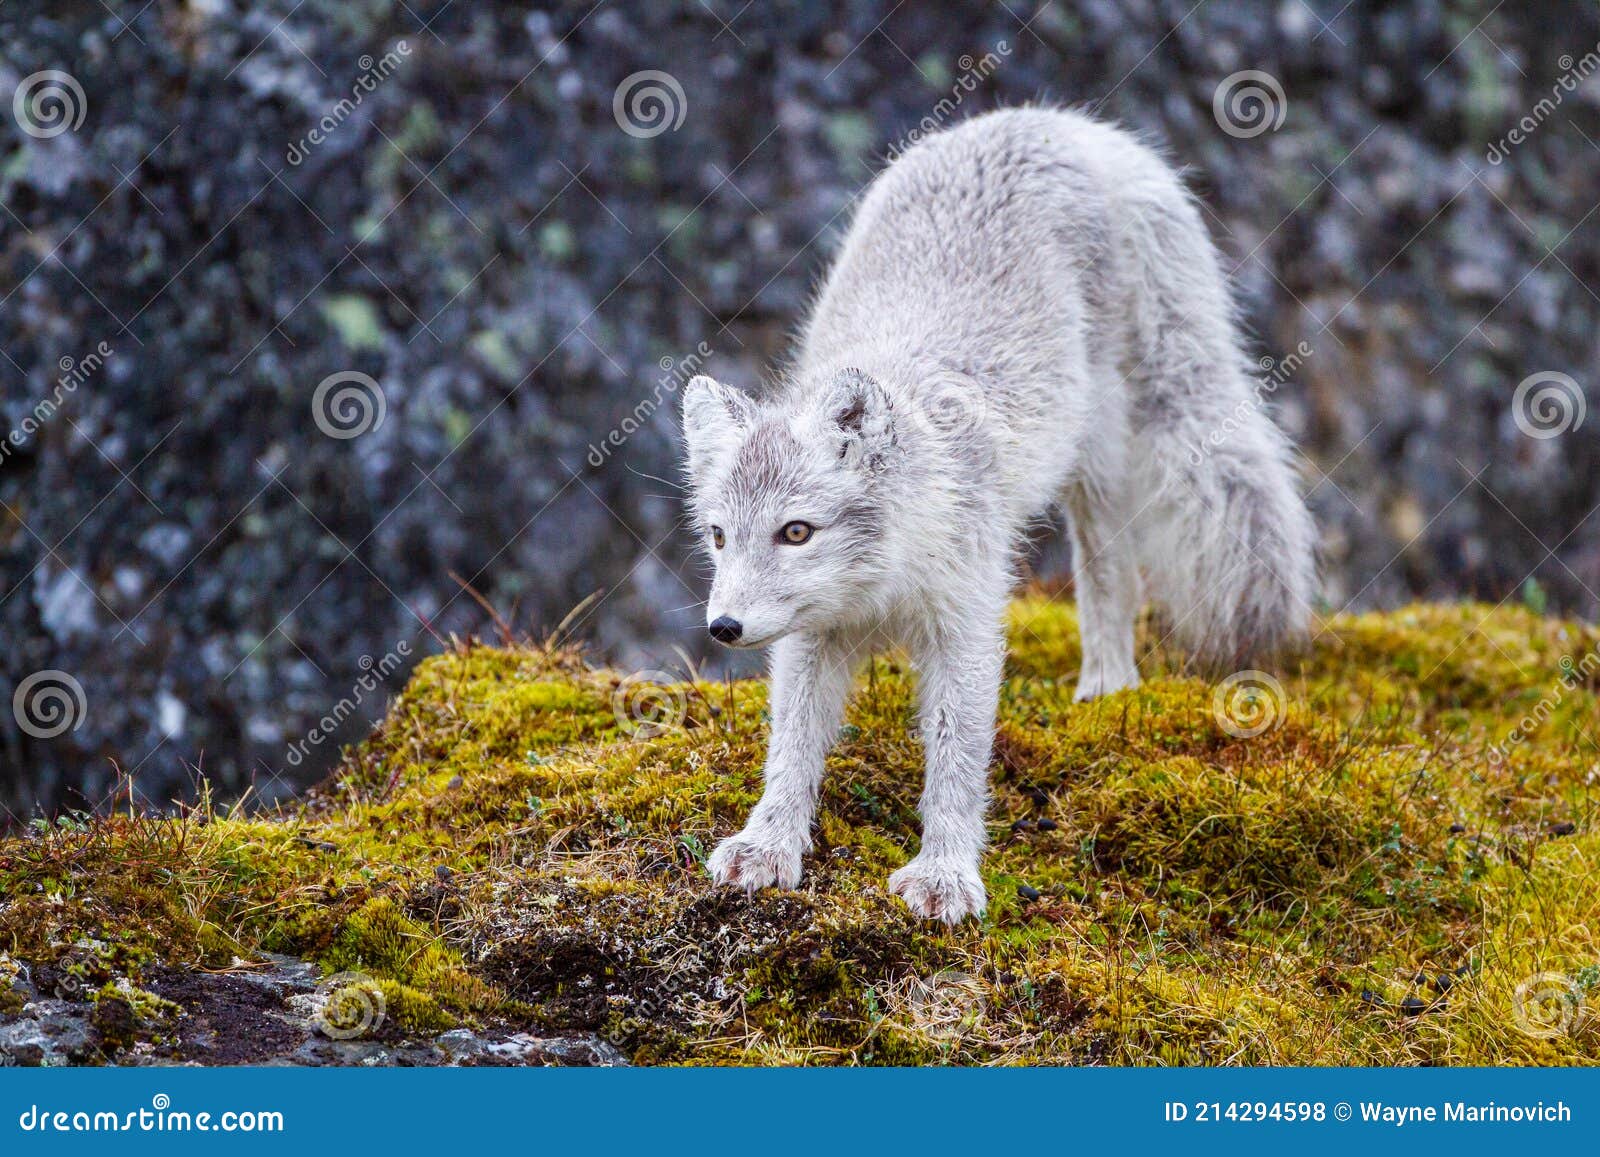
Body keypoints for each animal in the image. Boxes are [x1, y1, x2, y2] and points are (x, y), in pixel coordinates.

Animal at [679, 107, 1315, 923]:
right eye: (718, 536)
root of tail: (1060, 124)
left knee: (1110, 571)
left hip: (1100, 452)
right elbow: (790, 748)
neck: (884, 583)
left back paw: (1107, 685)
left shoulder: (968, 623)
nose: (723, 627)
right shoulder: (813, 635)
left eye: (796, 531)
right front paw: (768, 843)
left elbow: (956, 759)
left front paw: (946, 872)